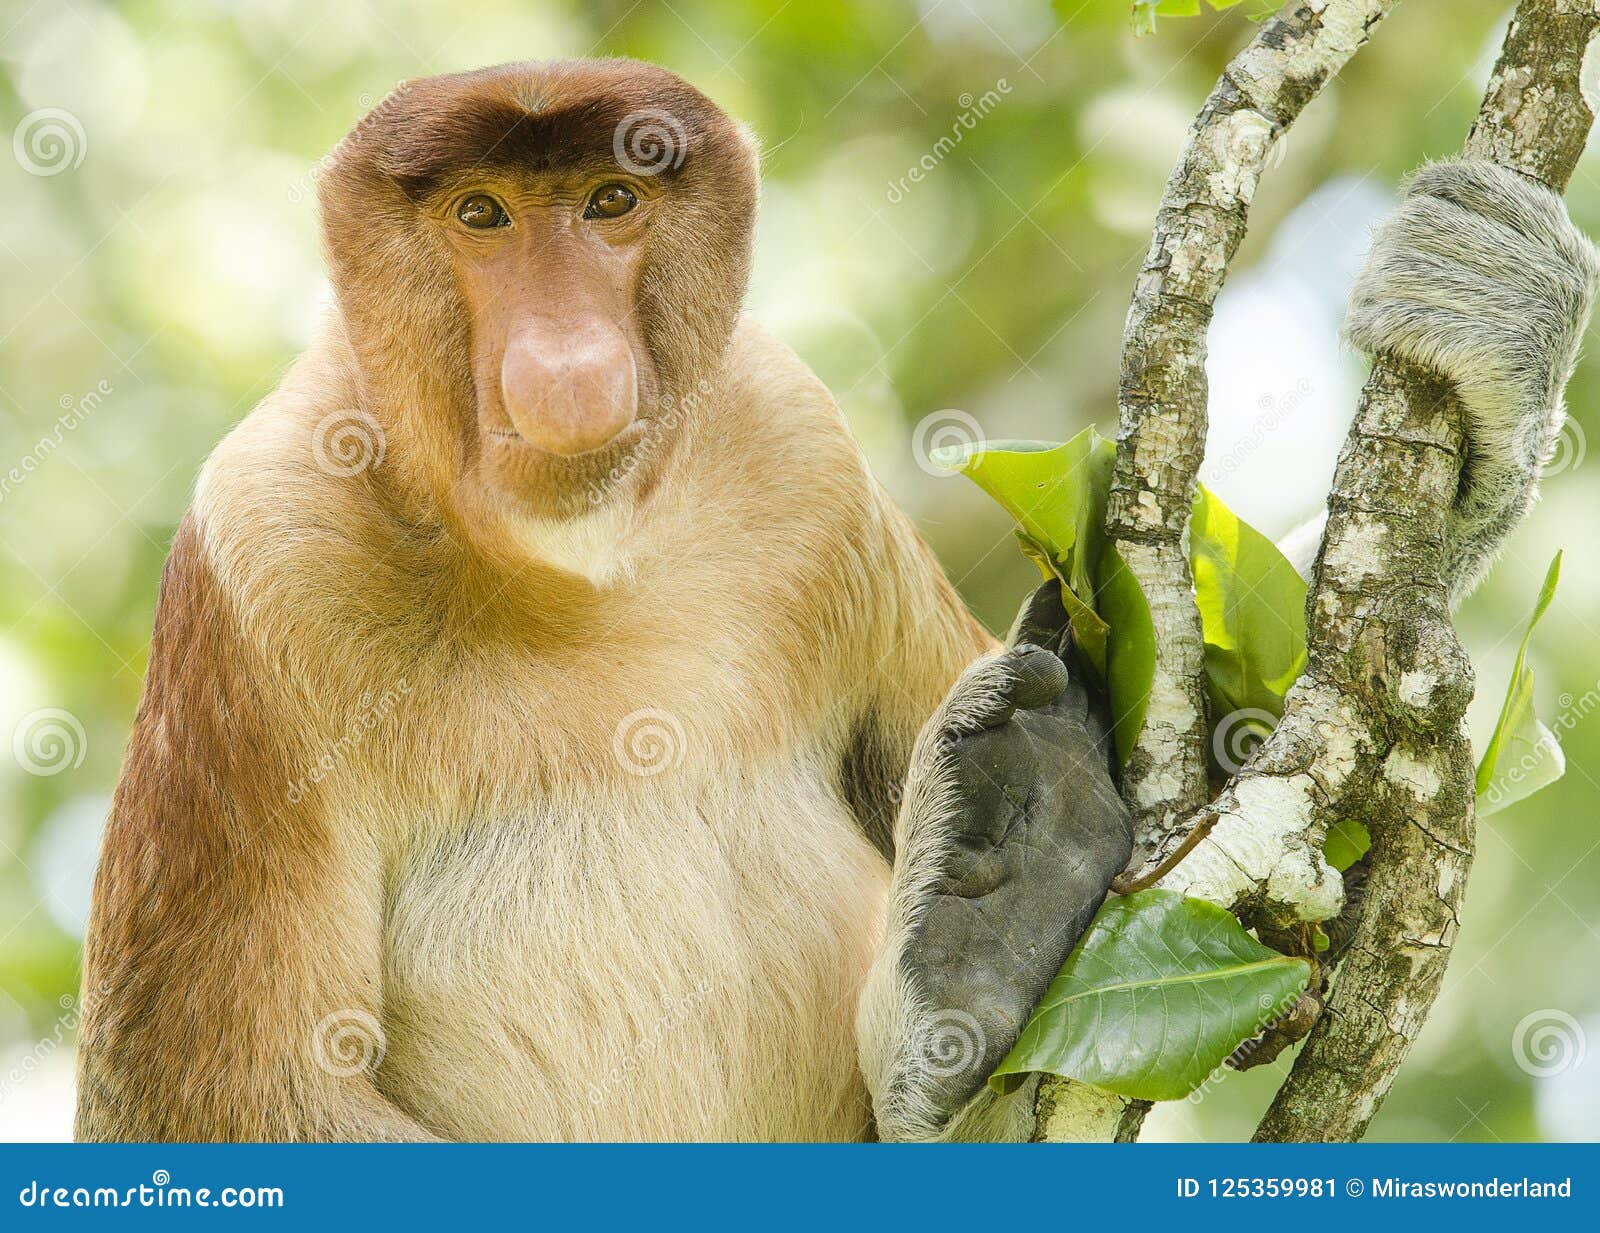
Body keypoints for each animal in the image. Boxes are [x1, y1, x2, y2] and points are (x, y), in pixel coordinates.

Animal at [74, 60, 1595, 1143]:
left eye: (612, 206)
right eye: (481, 218)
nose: (565, 363)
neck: (569, 571)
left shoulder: (797, 458)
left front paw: (1491, 343)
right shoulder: (263, 562)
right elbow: (232, 1104)